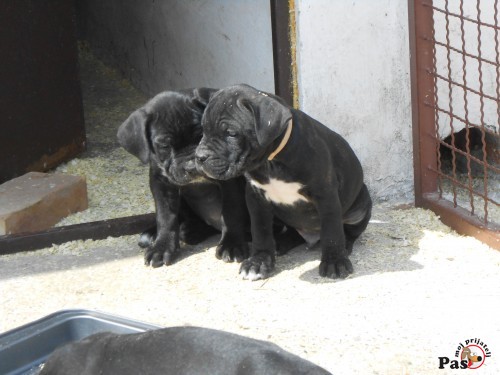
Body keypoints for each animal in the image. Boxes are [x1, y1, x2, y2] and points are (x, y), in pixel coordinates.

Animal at [117, 88, 250, 268]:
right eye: (165, 146)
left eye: (202, 135)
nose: (192, 166)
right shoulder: (161, 183)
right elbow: (166, 217)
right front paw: (162, 247)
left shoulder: (230, 181)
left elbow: (231, 211)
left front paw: (232, 244)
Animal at [195, 83, 372, 280]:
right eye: (203, 130)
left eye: (231, 134)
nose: (199, 157)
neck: (271, 161)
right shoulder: (256, 198)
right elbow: (260, 231)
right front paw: (259, 262)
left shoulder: (325, 194)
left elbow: (332, 230)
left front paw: (334, 261)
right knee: (293, 232)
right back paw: (280, 243)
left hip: (360, 207)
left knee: (348, 230)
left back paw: (345, 244)